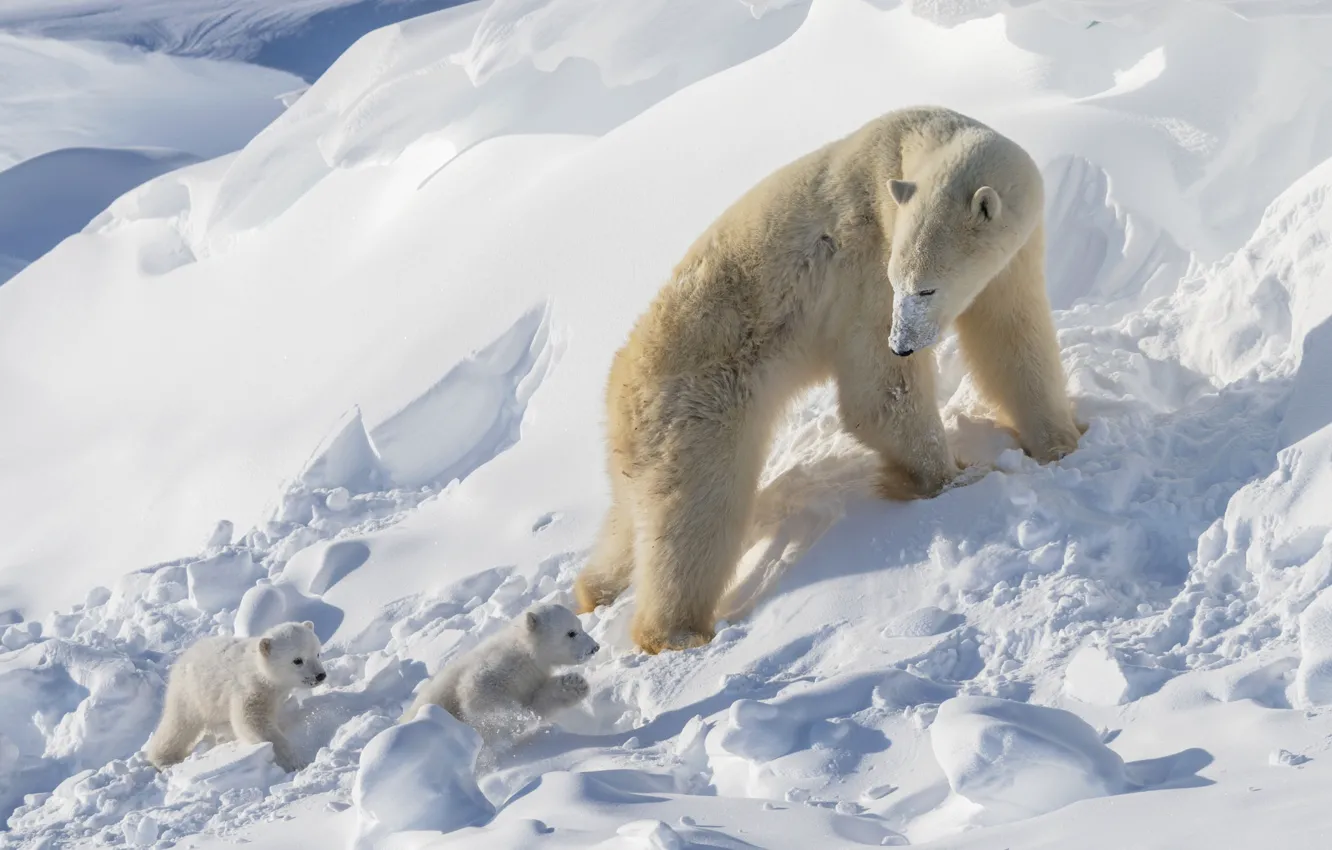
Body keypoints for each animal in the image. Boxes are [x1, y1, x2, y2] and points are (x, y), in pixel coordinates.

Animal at [145, 620, 326, 772]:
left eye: (317, 653)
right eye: (297, 660)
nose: (320, 675)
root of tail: (182, 659)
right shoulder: (249, 689)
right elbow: (251, 721)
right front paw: (296, 762)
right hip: (189, 693)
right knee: (178, 725)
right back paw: (164, 760)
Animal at [399, 602, 600, 742]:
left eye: (580, 626)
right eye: (571, 633)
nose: (594, 648)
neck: (523, 652)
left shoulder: (533, 677)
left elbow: (540, 699)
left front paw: (574, 684)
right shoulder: (494, 667)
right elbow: (477, 696)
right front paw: (516, 719)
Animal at [573, 105, 1082, 655]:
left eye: (926, 289)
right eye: (899, 282)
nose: (903, 343)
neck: (904, 145)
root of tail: (619, 389)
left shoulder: (1012, 256)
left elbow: (1012, 334)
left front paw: (1062, 441)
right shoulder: (865, 266)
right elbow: (878, 392)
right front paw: (956, 477)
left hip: (646, 440)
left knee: (629, 520)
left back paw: (593, 589)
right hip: (700, 407)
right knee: (698, 509)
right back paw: (678, 632)